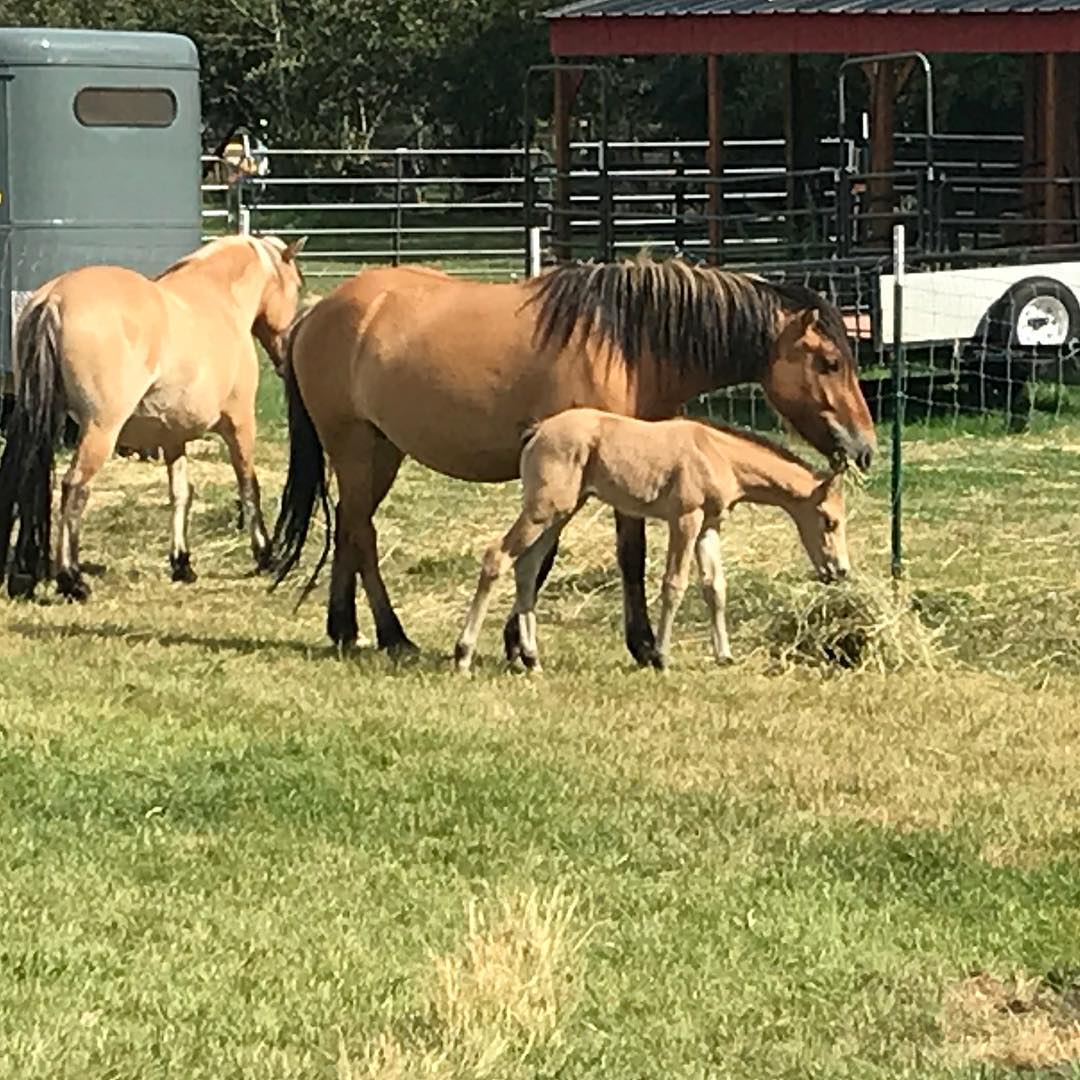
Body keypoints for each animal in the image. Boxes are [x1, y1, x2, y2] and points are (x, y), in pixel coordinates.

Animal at [0, 233, 307, 601]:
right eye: (297, 286)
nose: (287, 356)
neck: (218, 298)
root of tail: (55, 297)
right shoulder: (239, 424)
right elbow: (249, 486)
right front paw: (264, 555)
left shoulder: (174, 438)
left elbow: (180, 494)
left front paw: (182, 564)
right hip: (100, 430)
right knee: (75, 488)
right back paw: (71, 579)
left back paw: (24, 577)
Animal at [454, 408, 849, 673]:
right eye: (829, 521)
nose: (840, 571)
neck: (716, 452)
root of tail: (536, 431)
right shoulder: (685, 519)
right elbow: (674, 584)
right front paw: (660, 657)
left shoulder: (710, 526)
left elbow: (715, 587)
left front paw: (724, 655)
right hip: (543, 510)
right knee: (497, 557)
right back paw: (463, 656)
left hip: (560, 511)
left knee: (526, 566)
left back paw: (532, 659)